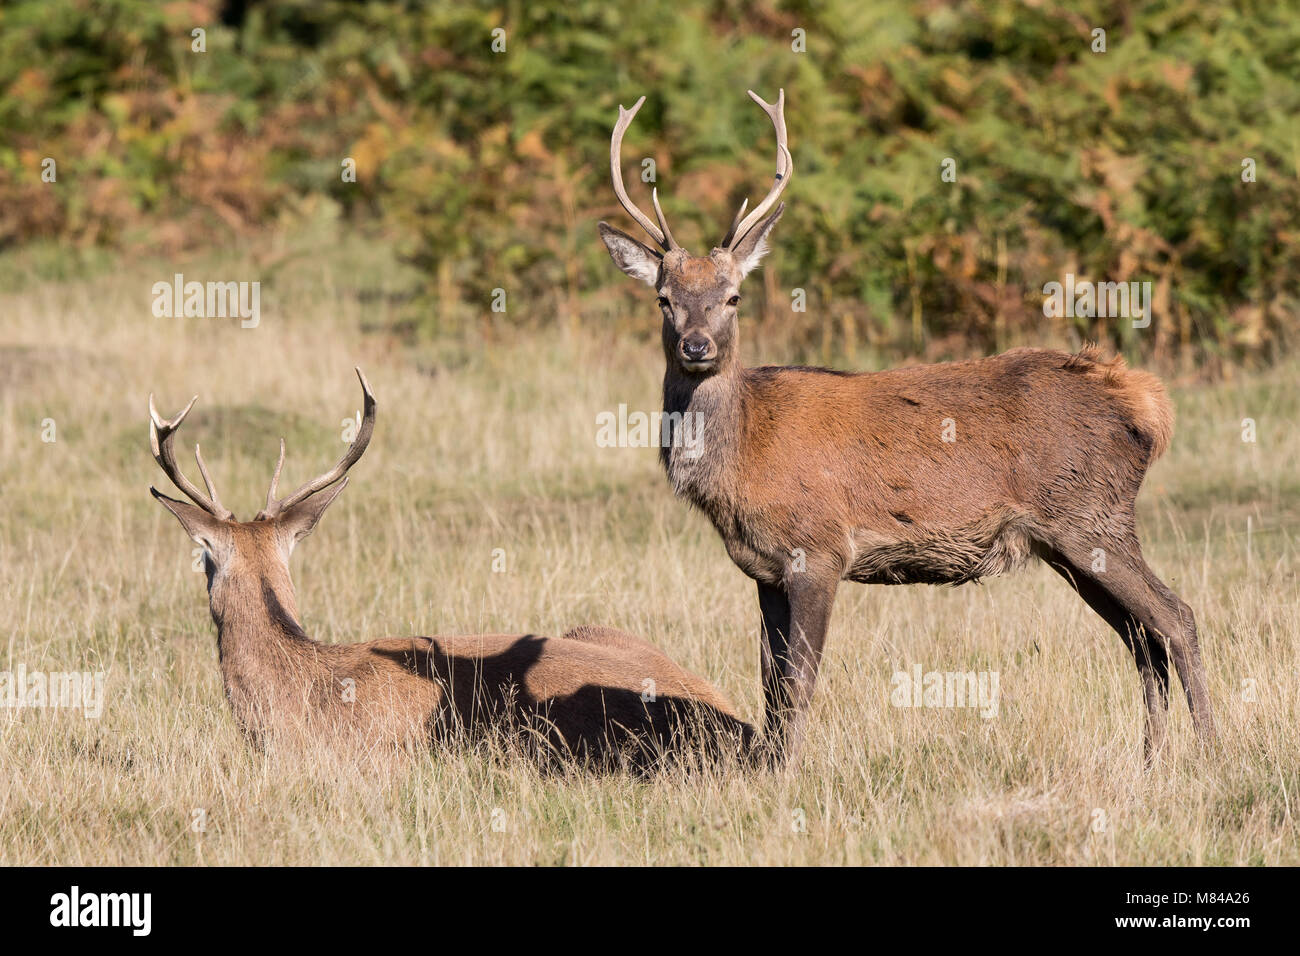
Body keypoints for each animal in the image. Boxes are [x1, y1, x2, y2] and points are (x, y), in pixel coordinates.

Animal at [597, 90, 1217, 767]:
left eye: (733, 296)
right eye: (663, 299)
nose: (697, 345)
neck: (740, 460)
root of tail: (1145, 401)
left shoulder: (819, 548)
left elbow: (800, 680)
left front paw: (787, 772)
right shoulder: (763, 569)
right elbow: (769, 684)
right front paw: (769, 767)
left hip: (1091, 516)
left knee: (1177, 618)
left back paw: (1213, 751)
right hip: (1070, 542)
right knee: (1141, 639)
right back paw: (1152, 759)